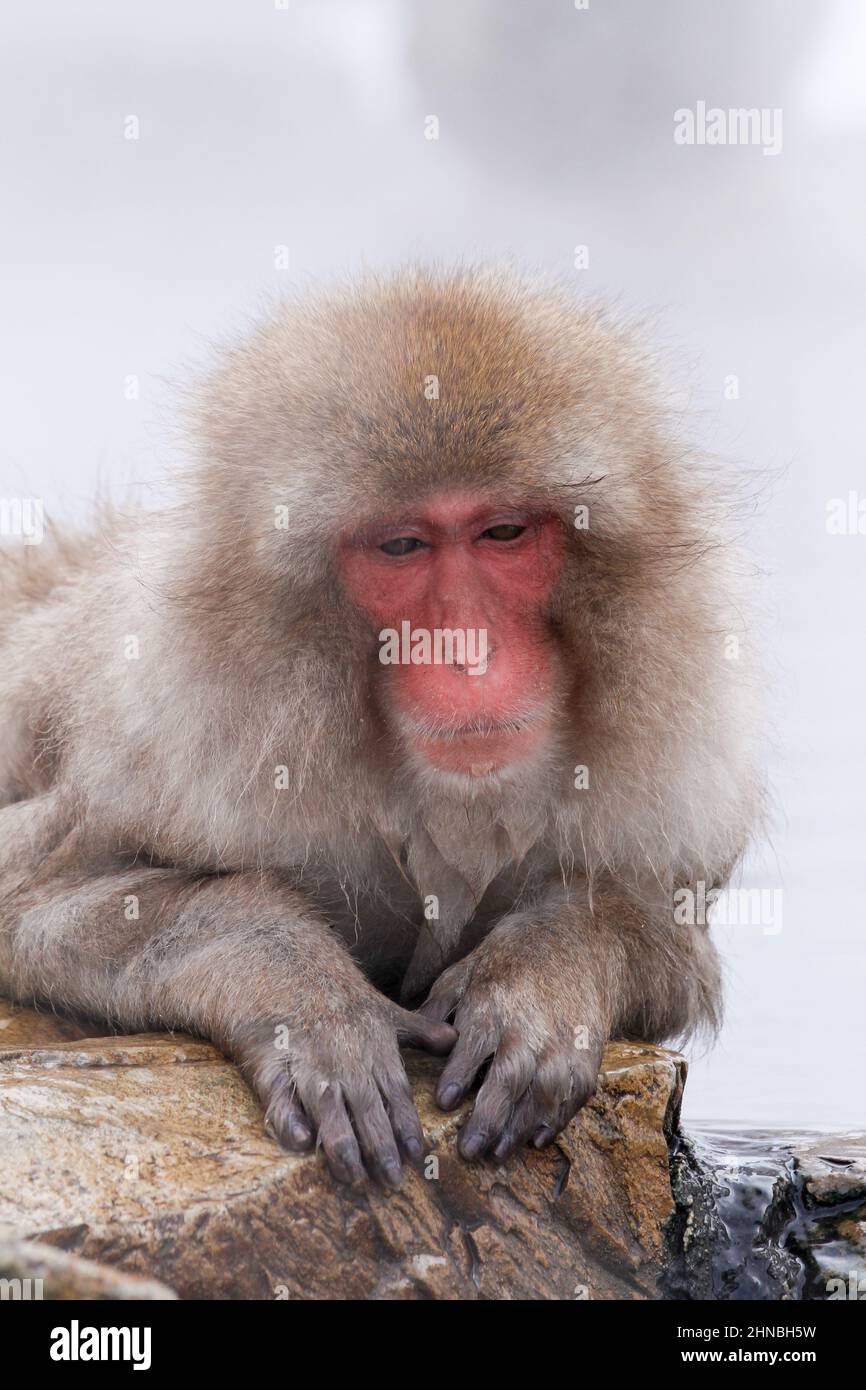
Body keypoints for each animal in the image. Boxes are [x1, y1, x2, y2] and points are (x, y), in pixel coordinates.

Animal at [0, 268, 761, 1186]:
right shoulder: (163, 754)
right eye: (402, 546)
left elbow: (670, 936)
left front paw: (546, 971)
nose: (466, 655)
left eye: (503, 532)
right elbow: (29, 901)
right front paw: (296, 989)